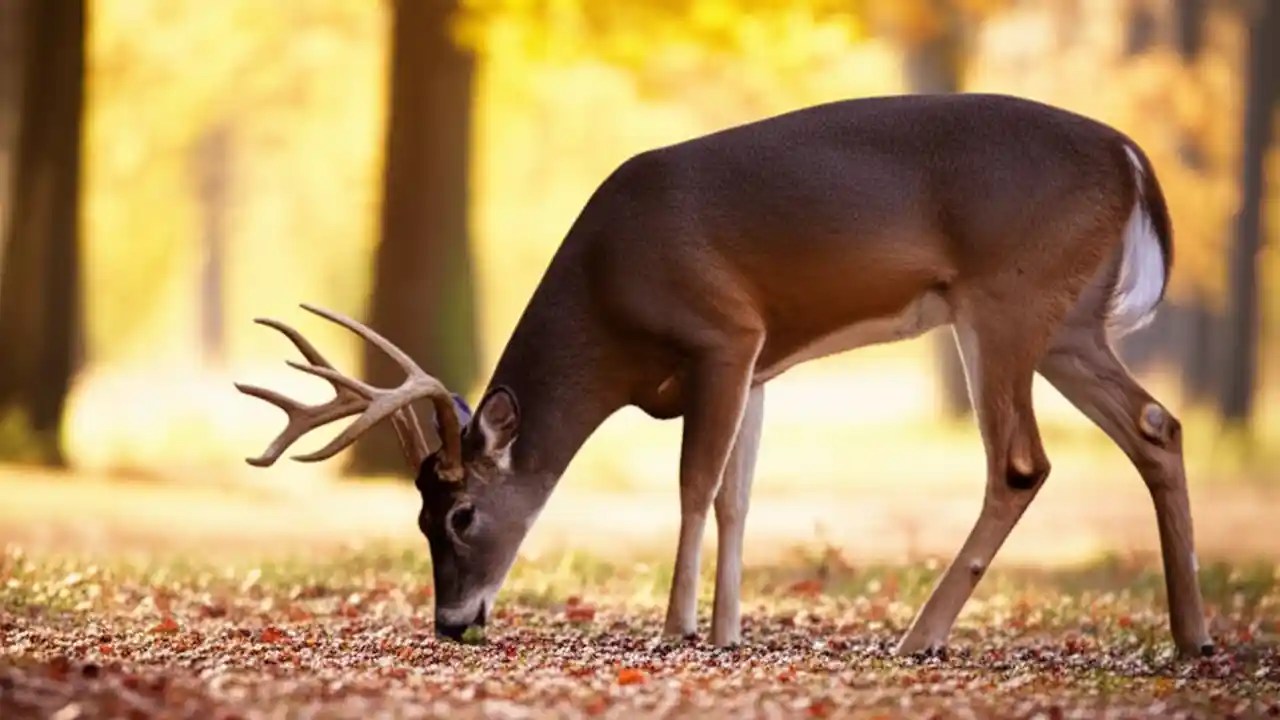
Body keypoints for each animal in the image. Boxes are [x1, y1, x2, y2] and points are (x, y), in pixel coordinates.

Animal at [237, 93, 1214, 658]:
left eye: (461, 514)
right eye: (415, 514)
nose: (452, 621)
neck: (611, 306)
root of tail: (1133, 160)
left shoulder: (722, 333)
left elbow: (694, 484)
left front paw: (676, 629)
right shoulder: (762, 362)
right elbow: (739, 495)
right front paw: (728, 630)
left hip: (1007, 298)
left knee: (1018, 464)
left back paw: (920, 637)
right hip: (1068, 323)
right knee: (1157, 425)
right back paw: (1192, 638)